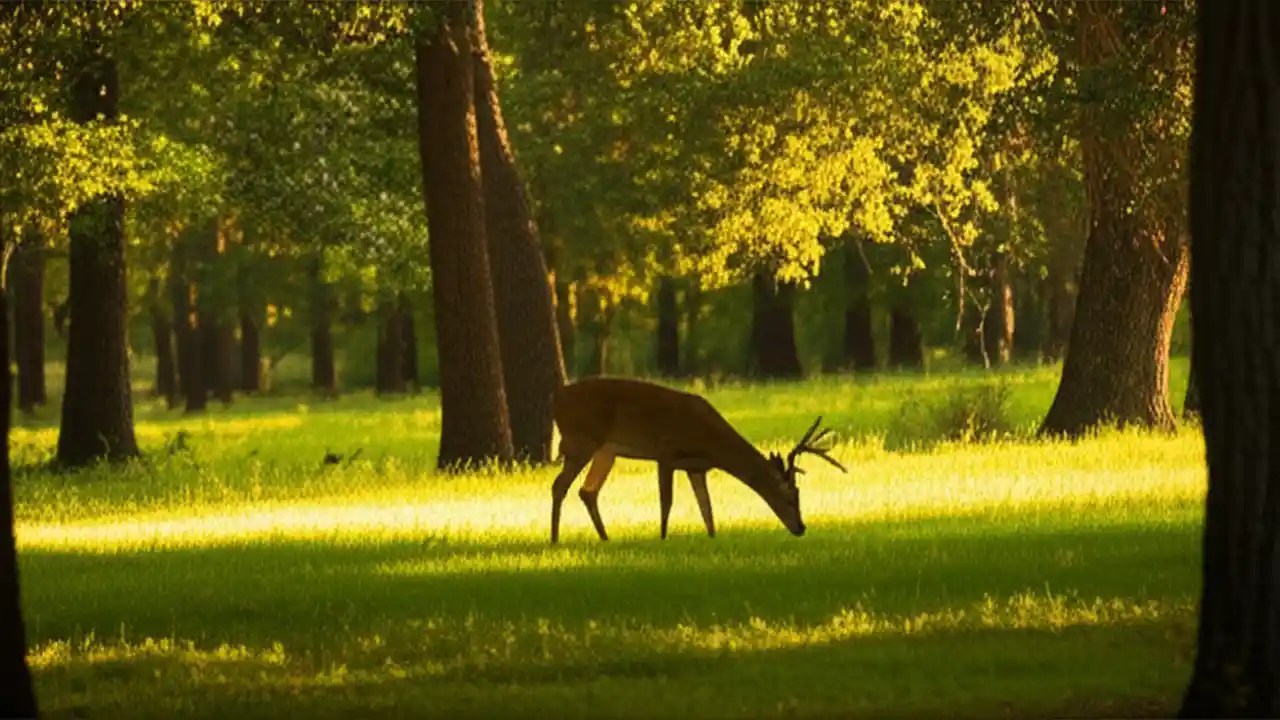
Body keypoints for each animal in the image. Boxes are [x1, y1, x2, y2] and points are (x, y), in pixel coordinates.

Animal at [549, 377, 846, 543]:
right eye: (791, 496)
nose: (801, 527)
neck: (711, 443)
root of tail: (557, 398)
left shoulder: (697, 468)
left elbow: (707, 509)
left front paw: (712, 537)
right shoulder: (666, 451)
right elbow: (666, 501)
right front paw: (663, 538)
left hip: (605, 451)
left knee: (587, 491)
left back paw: (604, 537)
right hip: (580, 441)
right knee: (559, 486)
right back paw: (554, 539)